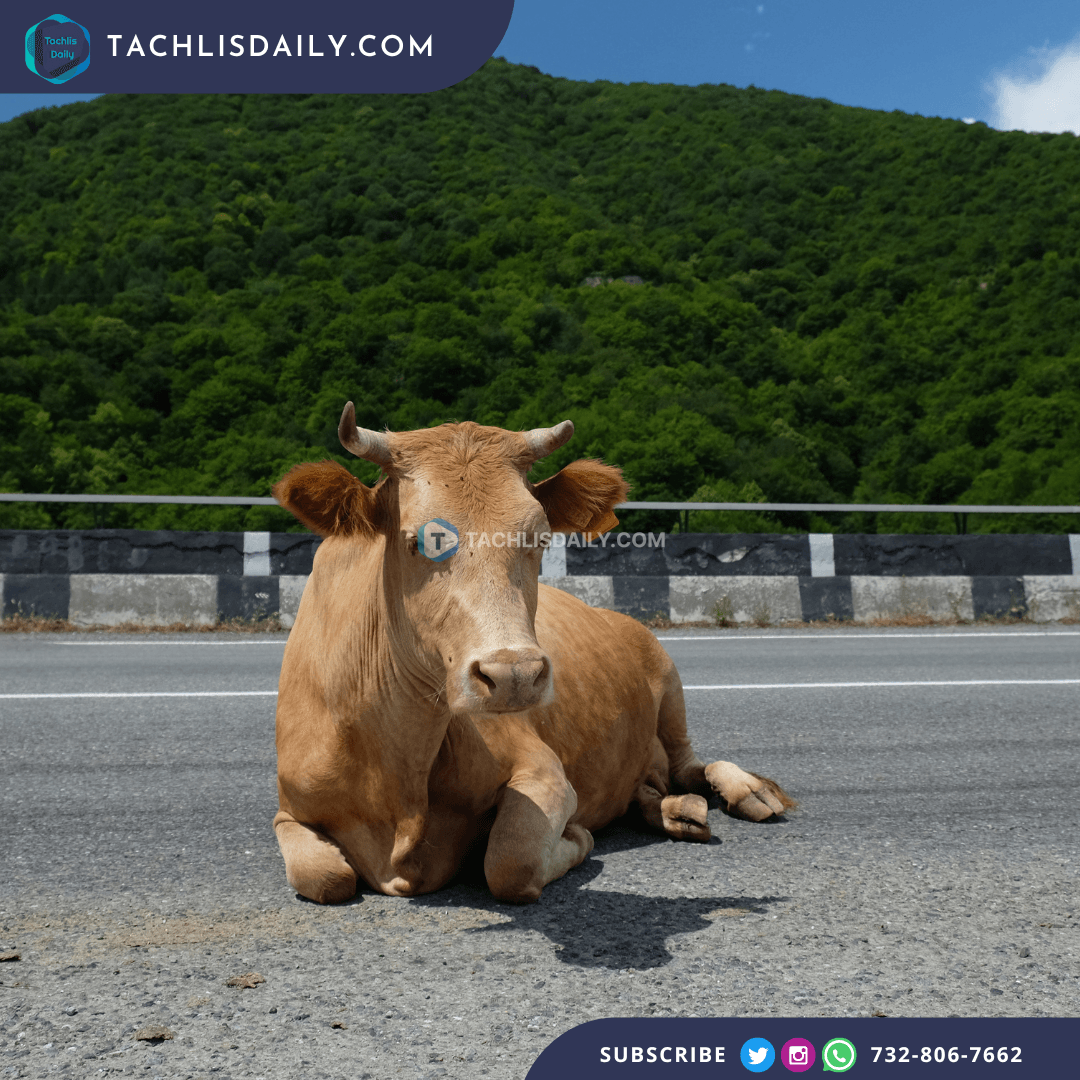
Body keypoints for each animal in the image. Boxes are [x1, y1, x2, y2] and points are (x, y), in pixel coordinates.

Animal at [271, 403, 794, 905]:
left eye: (540, 537)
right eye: (416, 540)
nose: (514, 675)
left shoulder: (544, 772)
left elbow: (511, 862)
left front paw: (578, 838)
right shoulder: (288, 809)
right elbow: (325, 877)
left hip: (669, 681)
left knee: (692, 764)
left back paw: (748, 791)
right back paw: (672, 809)